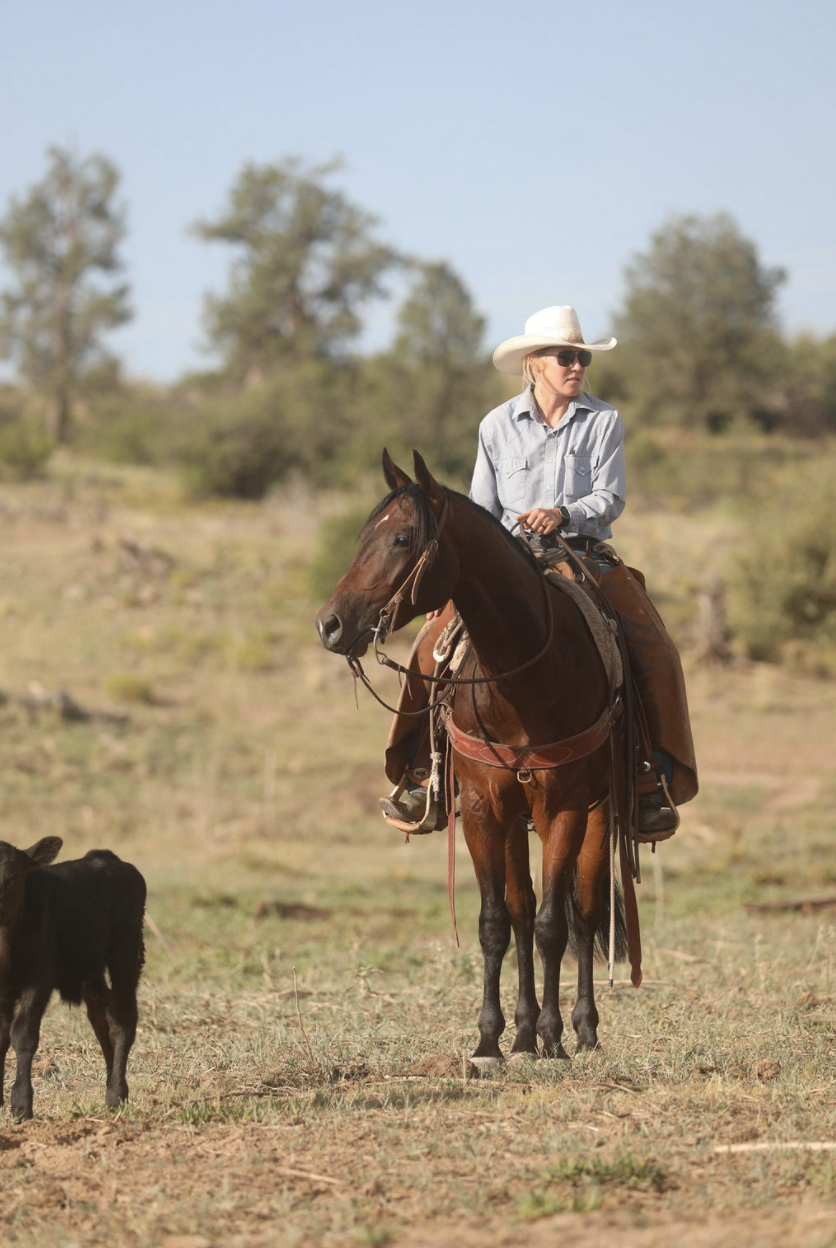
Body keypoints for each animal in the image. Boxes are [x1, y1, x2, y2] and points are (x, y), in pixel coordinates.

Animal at [316, 450, 639, 1063]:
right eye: (365, 533)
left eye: (401, 538)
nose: (330, 623)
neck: (524, 675)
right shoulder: (487, 809)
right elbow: (497, 921)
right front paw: (491, 1040)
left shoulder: (564, 807)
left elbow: (554, 925)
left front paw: (555, 1038)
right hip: (514, 818)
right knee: (522, 910)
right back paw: (524, 1032)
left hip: (596, 813)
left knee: (585, 912)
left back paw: (581, 1030)